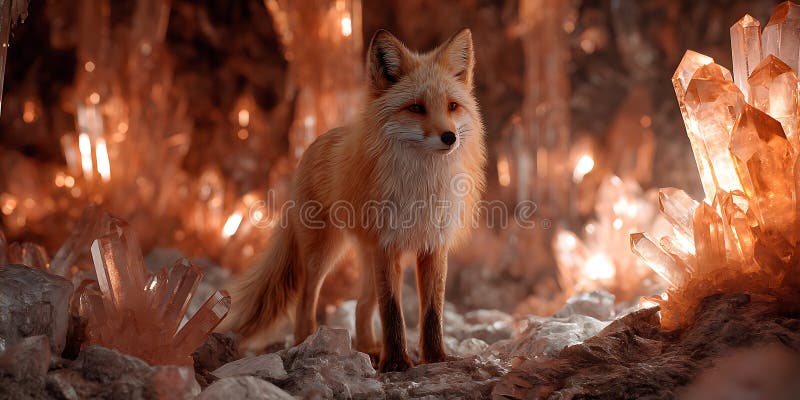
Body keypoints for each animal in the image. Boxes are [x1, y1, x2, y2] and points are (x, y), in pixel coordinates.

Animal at [219, 28, 486, 372]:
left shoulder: (433, 245)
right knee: (307, 298)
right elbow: (392, 311)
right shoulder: (386, 244)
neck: (422, 185)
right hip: (324, 252)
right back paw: (306, 343)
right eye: (416, 108)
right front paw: (397, 363)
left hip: (368, 256)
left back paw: (369, 348)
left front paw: (435, 358)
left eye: (453, 105)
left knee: (362, 304)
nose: (449, 137)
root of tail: (318, 140)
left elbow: (431, 312)